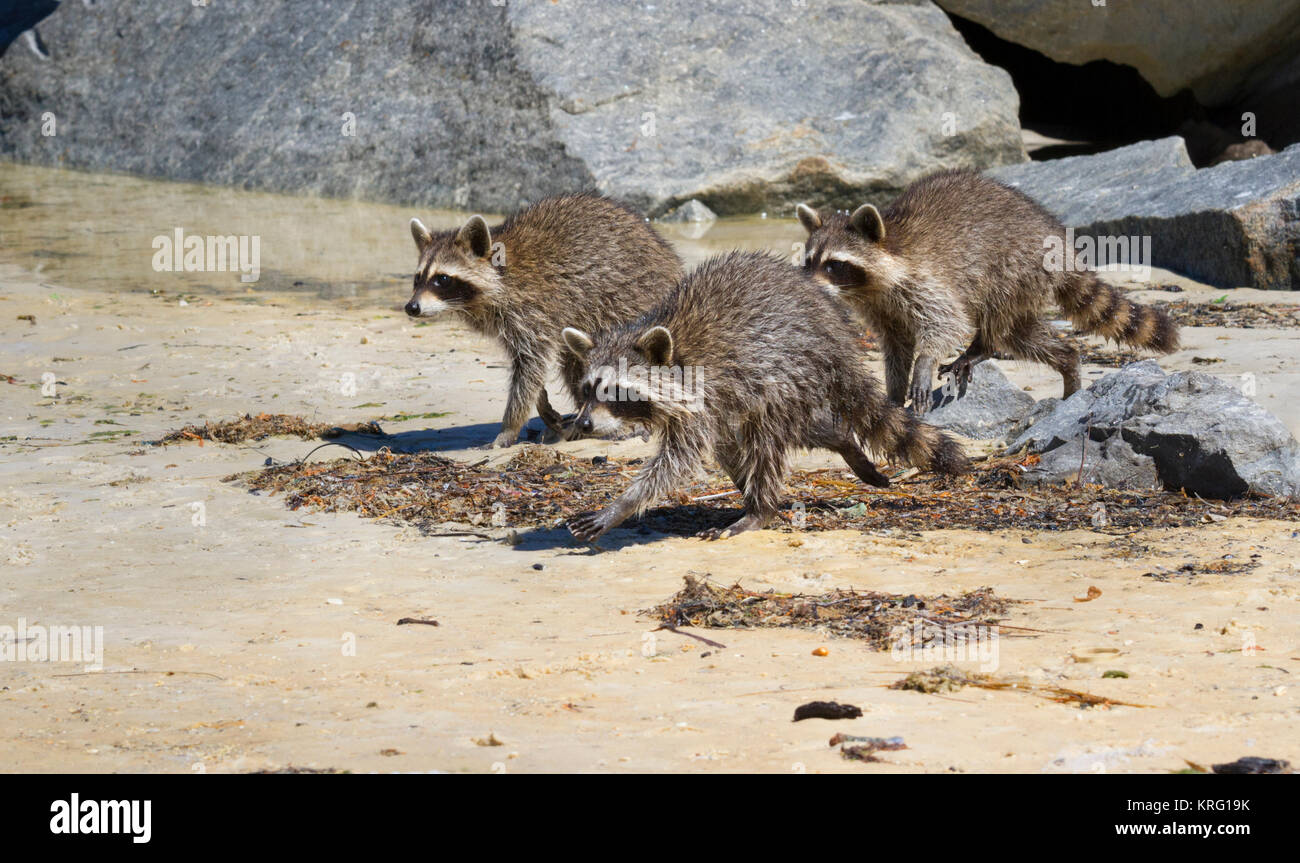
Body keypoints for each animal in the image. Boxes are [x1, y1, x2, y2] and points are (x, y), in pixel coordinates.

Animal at [406, 193, 683, 447]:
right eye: (417, 278)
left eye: (442, 279)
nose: (411, 307)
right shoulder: (509, 323)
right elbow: (528, 369)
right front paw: (541, 402)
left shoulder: (533, 311)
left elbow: (531, 367)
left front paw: (509, 427)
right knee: (575, 361)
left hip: (629, 302)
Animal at [561, 251, 969, 542]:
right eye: (587, 390)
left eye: (615, 391)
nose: (584, 423)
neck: (678, 355)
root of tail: (837, 338)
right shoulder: (709, 402)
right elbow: (717, 447)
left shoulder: (704, 394)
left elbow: (677, 463)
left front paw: (623, 504)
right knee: (782, 432)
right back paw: (835, 446)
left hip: (789, 371)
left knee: (767, 437)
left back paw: (760, 508)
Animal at [797, 170, 1180, 414]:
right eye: (809, 260)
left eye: (834, 264)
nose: (806, 287)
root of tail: (1062, 243)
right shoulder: (881, 308)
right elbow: (896, 346)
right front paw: (893, 392)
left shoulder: (923, 281)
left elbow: (946, 323)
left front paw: (924, 362)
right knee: (1025, 334)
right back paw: (1068, 361)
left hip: (1017, 265)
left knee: (1000, 320)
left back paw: (981, 348)